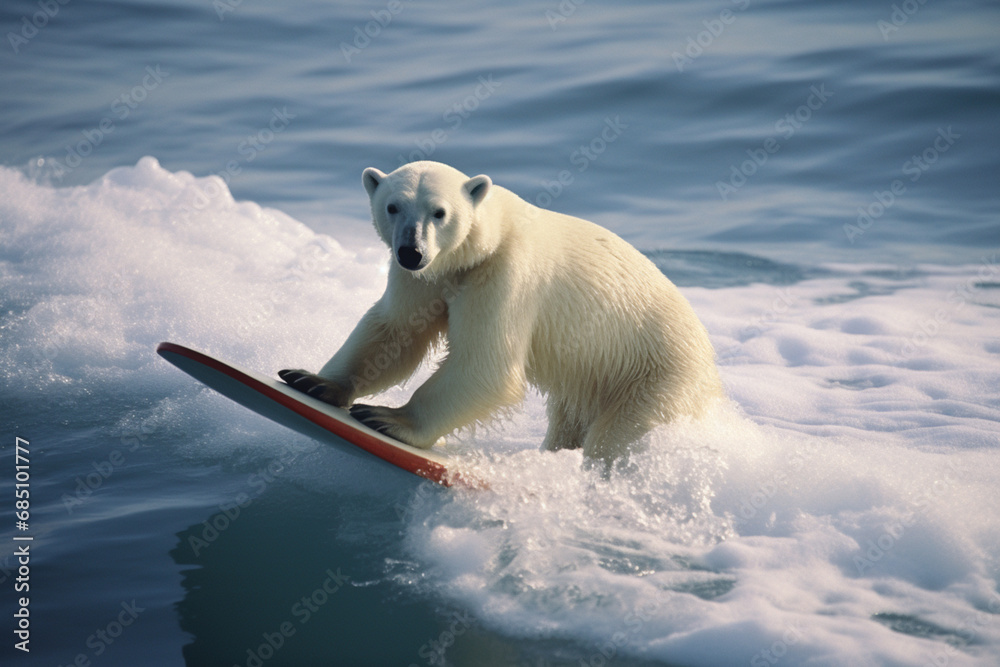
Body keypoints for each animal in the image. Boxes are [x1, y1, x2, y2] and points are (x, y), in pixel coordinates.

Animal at [280, 161, 722, 464]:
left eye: (438, 212)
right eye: (392, 206)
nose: (411, 251)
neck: (482, 244)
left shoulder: (504, 274)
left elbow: (485, 363)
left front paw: (387, 418)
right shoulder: (425, 279)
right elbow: (395, 331)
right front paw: (313, 381)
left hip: (654, 375)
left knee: (618, 437)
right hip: (593, 382)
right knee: (568, 422)